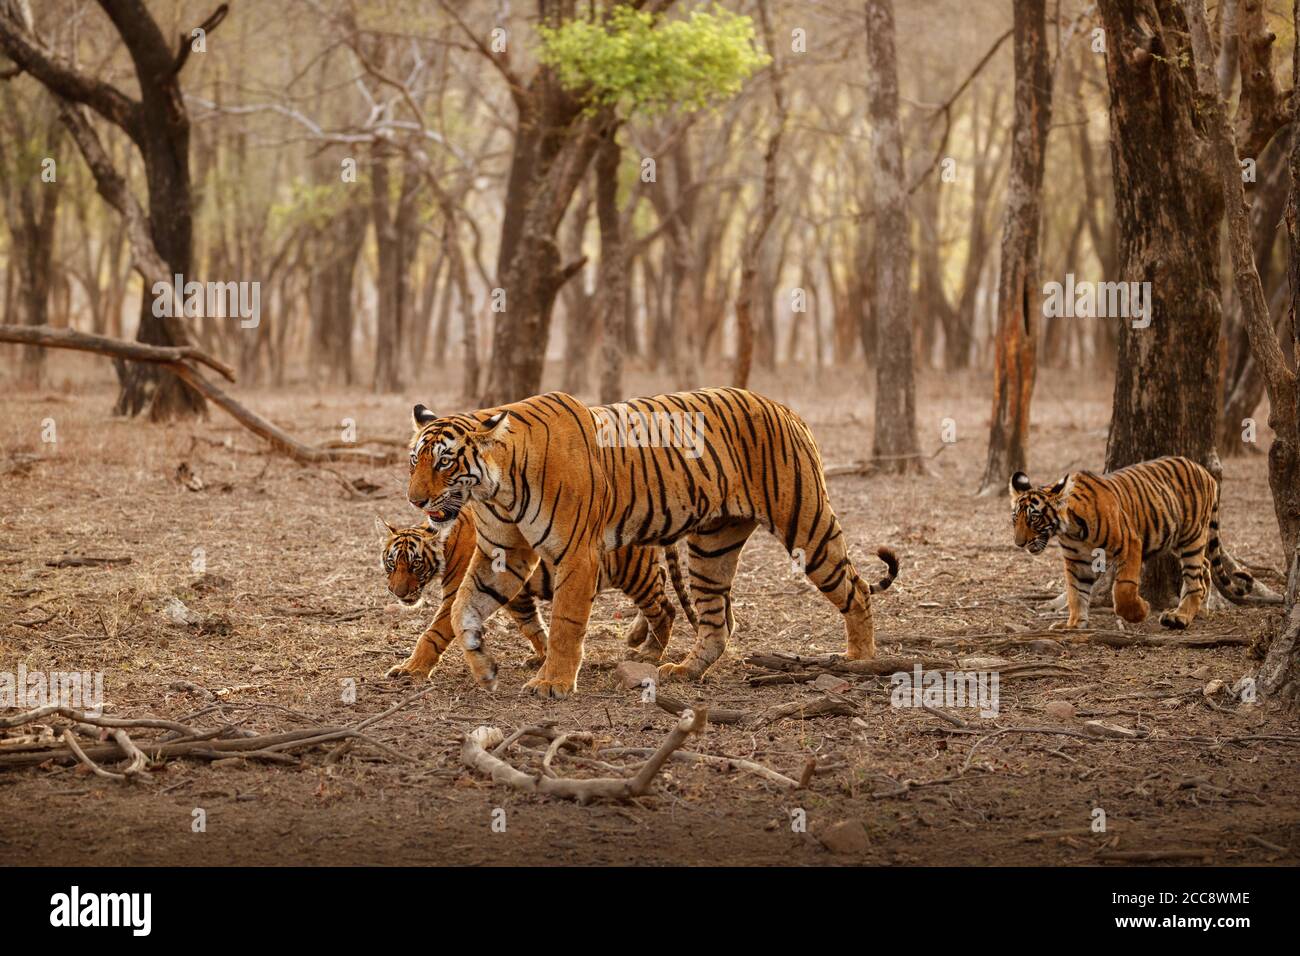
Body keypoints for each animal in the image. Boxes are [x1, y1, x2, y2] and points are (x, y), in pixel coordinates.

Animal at [378, 511, 697, 681]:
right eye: (392, 563)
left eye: (415, 564)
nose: (397, 592)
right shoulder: (514, 593)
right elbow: (532, 625)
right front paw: (543, 657)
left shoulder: (457, 595)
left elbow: (432, 634)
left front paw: (410, 669)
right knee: (661, 584)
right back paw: (636, 637)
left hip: (633, 571)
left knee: (665, 609)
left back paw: (650, 652)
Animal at [1009, 455, 1269, 630]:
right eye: (1015, 519)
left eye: (1033, 518)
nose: (1019, 543)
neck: (1070, 529)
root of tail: (1205, 472)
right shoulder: (1076, 561)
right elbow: (1076, 593)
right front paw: (1073, 624)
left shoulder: (1130, 544)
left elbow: (1123, 589)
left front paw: (1140, 611)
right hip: (1178, 540)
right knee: (1204, 567)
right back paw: (1201, 610)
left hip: (1192, 536)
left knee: (1195, 577)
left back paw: (1181, 616)